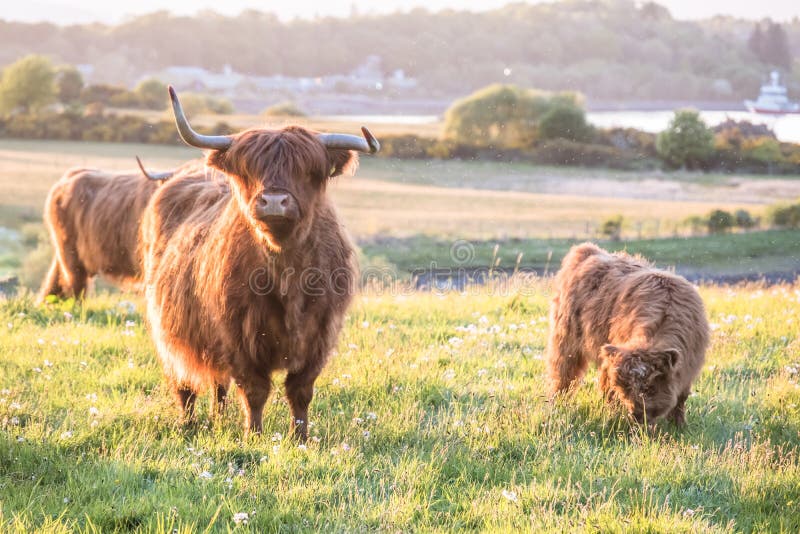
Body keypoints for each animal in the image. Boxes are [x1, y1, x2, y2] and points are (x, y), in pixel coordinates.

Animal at [141, 86, 379, 439]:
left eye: (308, 172)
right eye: (249, 170)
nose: (275, 201)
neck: (286, 268)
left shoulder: (320, 335)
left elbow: (300, 391)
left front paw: (301, 438)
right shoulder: (238, 335)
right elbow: (254, 390)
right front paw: (253, 436)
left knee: (218, 385)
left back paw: (217, 418)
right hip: (170, 327)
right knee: (184, 382)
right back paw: (189, 423)